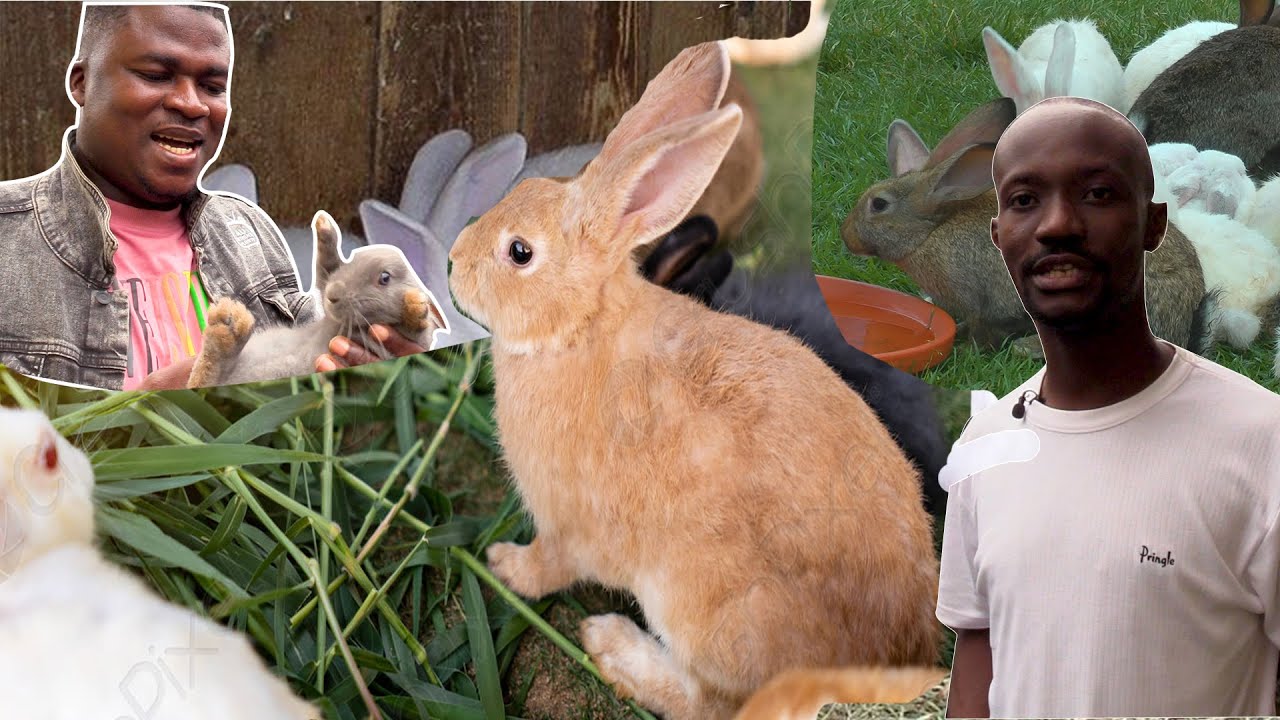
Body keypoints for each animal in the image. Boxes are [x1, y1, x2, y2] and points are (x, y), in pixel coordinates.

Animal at [187, 211, 448, 388]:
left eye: (385, 278)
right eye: (350, 264)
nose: (333, 295)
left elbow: (415, 329)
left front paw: (414, 305)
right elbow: (325, 267)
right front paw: (323, 225)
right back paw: (228, 323)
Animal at [842, 98, 1213, 355]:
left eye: (878, 205)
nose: (847, 238)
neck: (931, 232)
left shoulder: (978, 299)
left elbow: (984, 329)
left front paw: (970, 348)